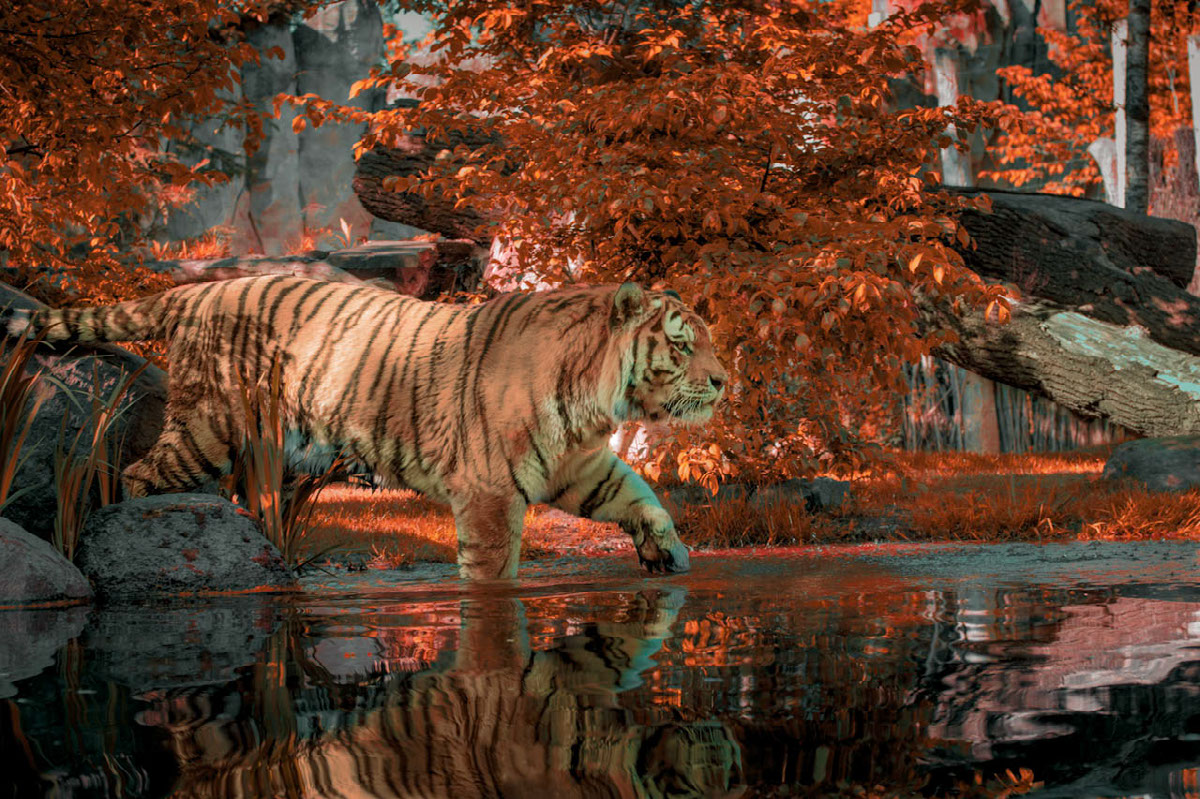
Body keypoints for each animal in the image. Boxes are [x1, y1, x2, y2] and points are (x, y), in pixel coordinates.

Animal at [9, 275, 728, 579]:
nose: (725, 380)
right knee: (137, 473)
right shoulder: (490, 492)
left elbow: (642, 497)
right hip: (211, 425)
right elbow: (494, 570)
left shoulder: (579, 465)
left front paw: (667, 555)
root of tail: (201, 287)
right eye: (683, 344)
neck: (594, 400)